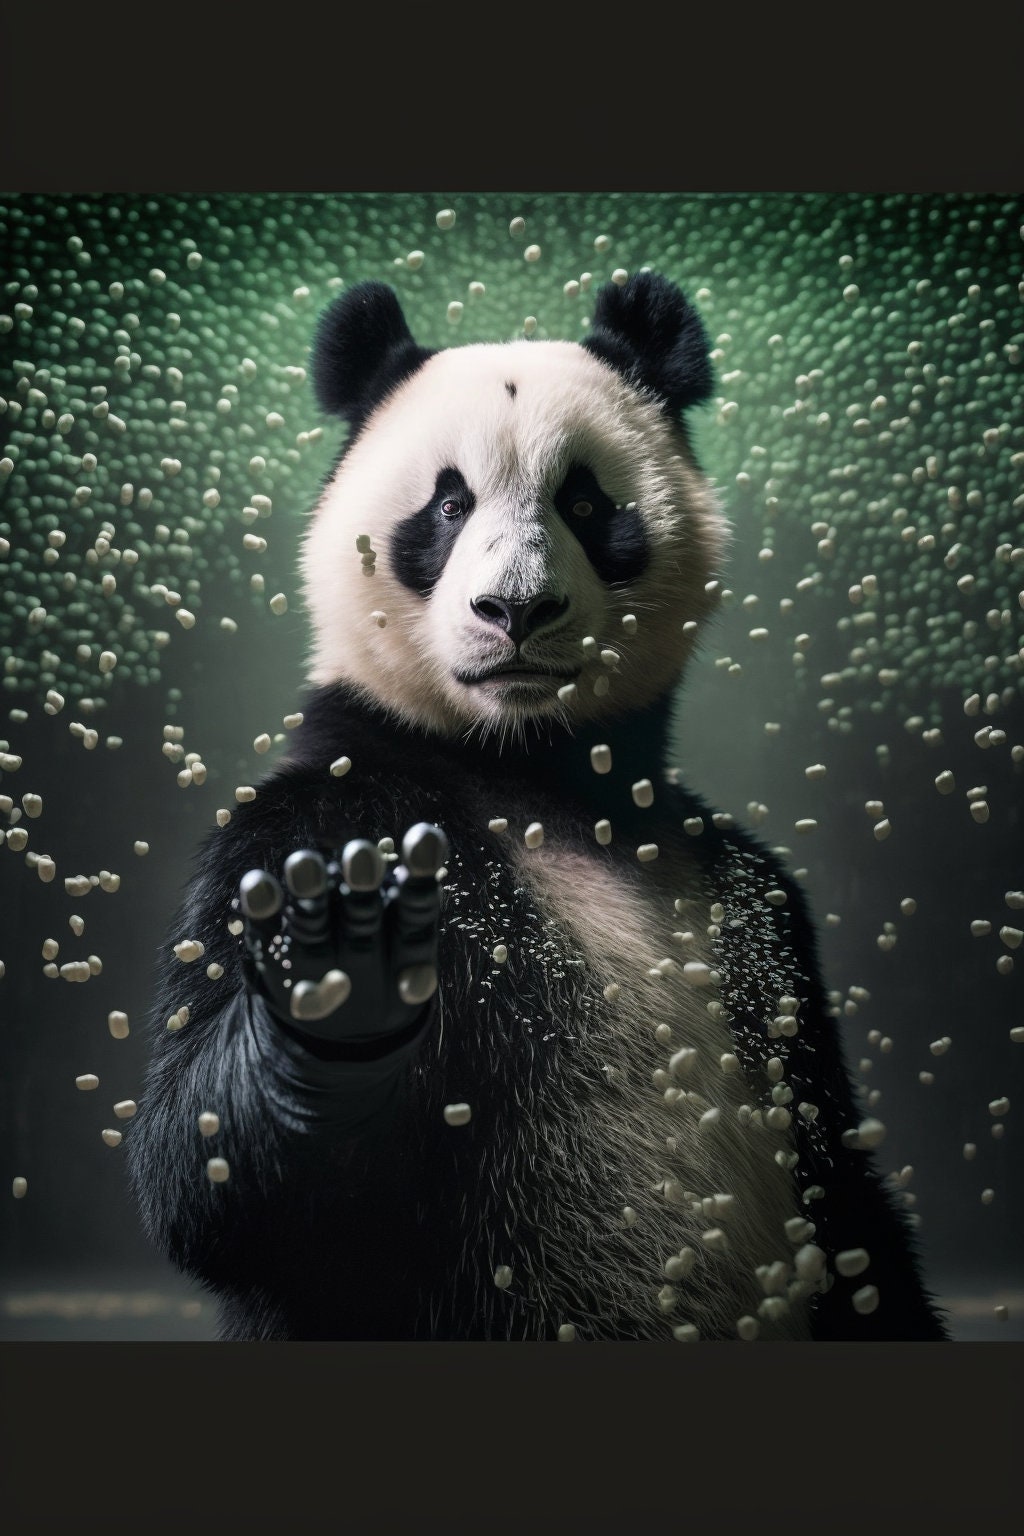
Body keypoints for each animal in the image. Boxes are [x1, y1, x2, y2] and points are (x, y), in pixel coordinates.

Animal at [127, 273, 947, 1342]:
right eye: (448, 504)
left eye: (586, 501)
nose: (516, 610)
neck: (528, 771)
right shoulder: (300, 824)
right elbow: (205, 1172)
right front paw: (341, 972)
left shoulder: (759, 916)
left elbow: (846, 1193)